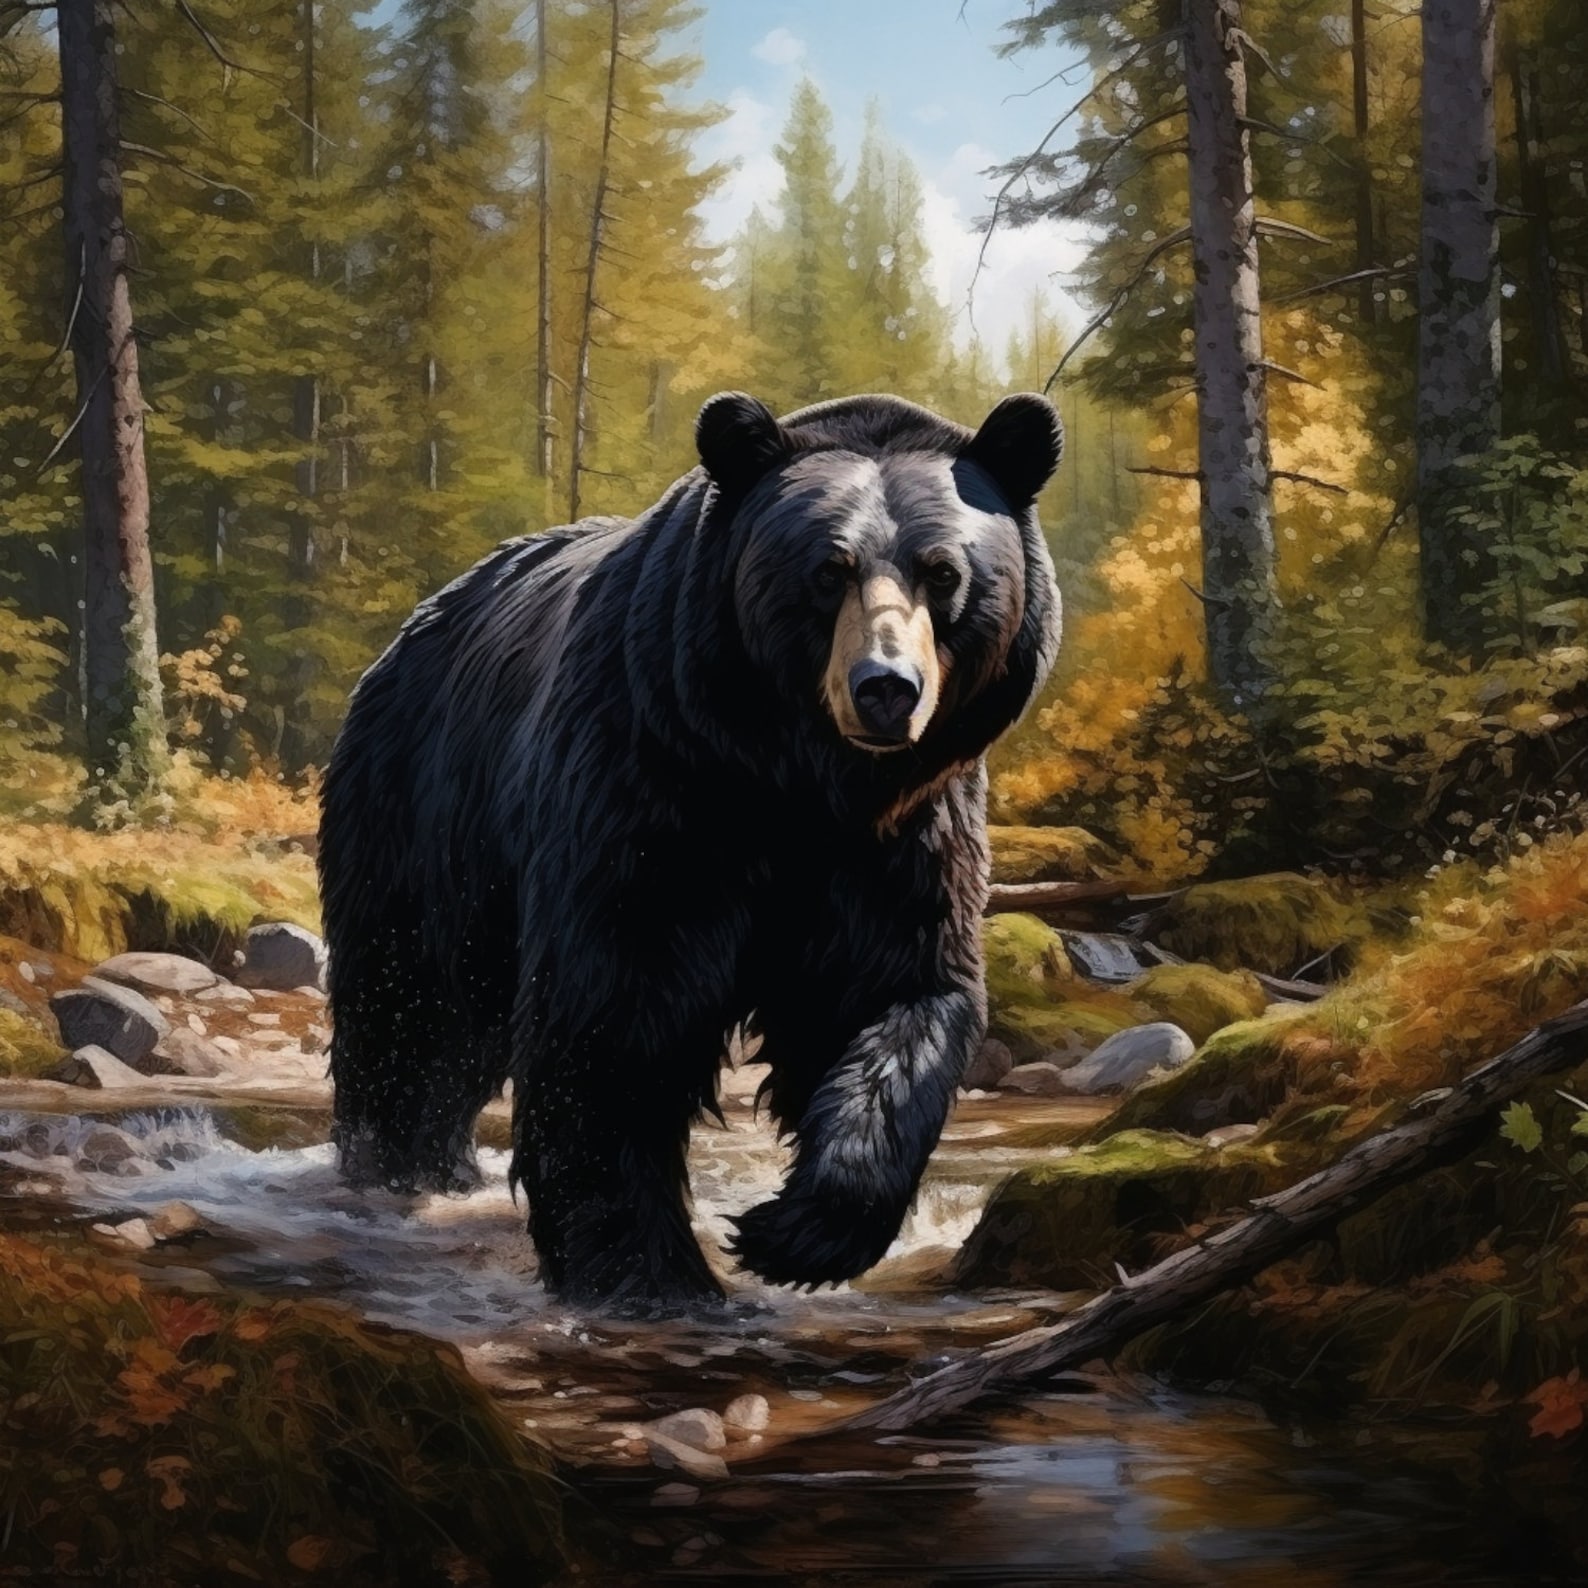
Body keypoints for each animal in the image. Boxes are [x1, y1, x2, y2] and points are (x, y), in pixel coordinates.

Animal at [318, 390, 1063, 1310]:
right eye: (828, 571)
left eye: (944, 572)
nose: (886, 689)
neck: (798, 781)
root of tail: (414, 626)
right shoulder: (654, 787)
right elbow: (613, 1015)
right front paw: (647, 1272)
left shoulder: (897, 838)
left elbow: (893, 994)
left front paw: (794, 1230)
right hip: (425, 812)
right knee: (408, 1006)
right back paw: (392, 1168)